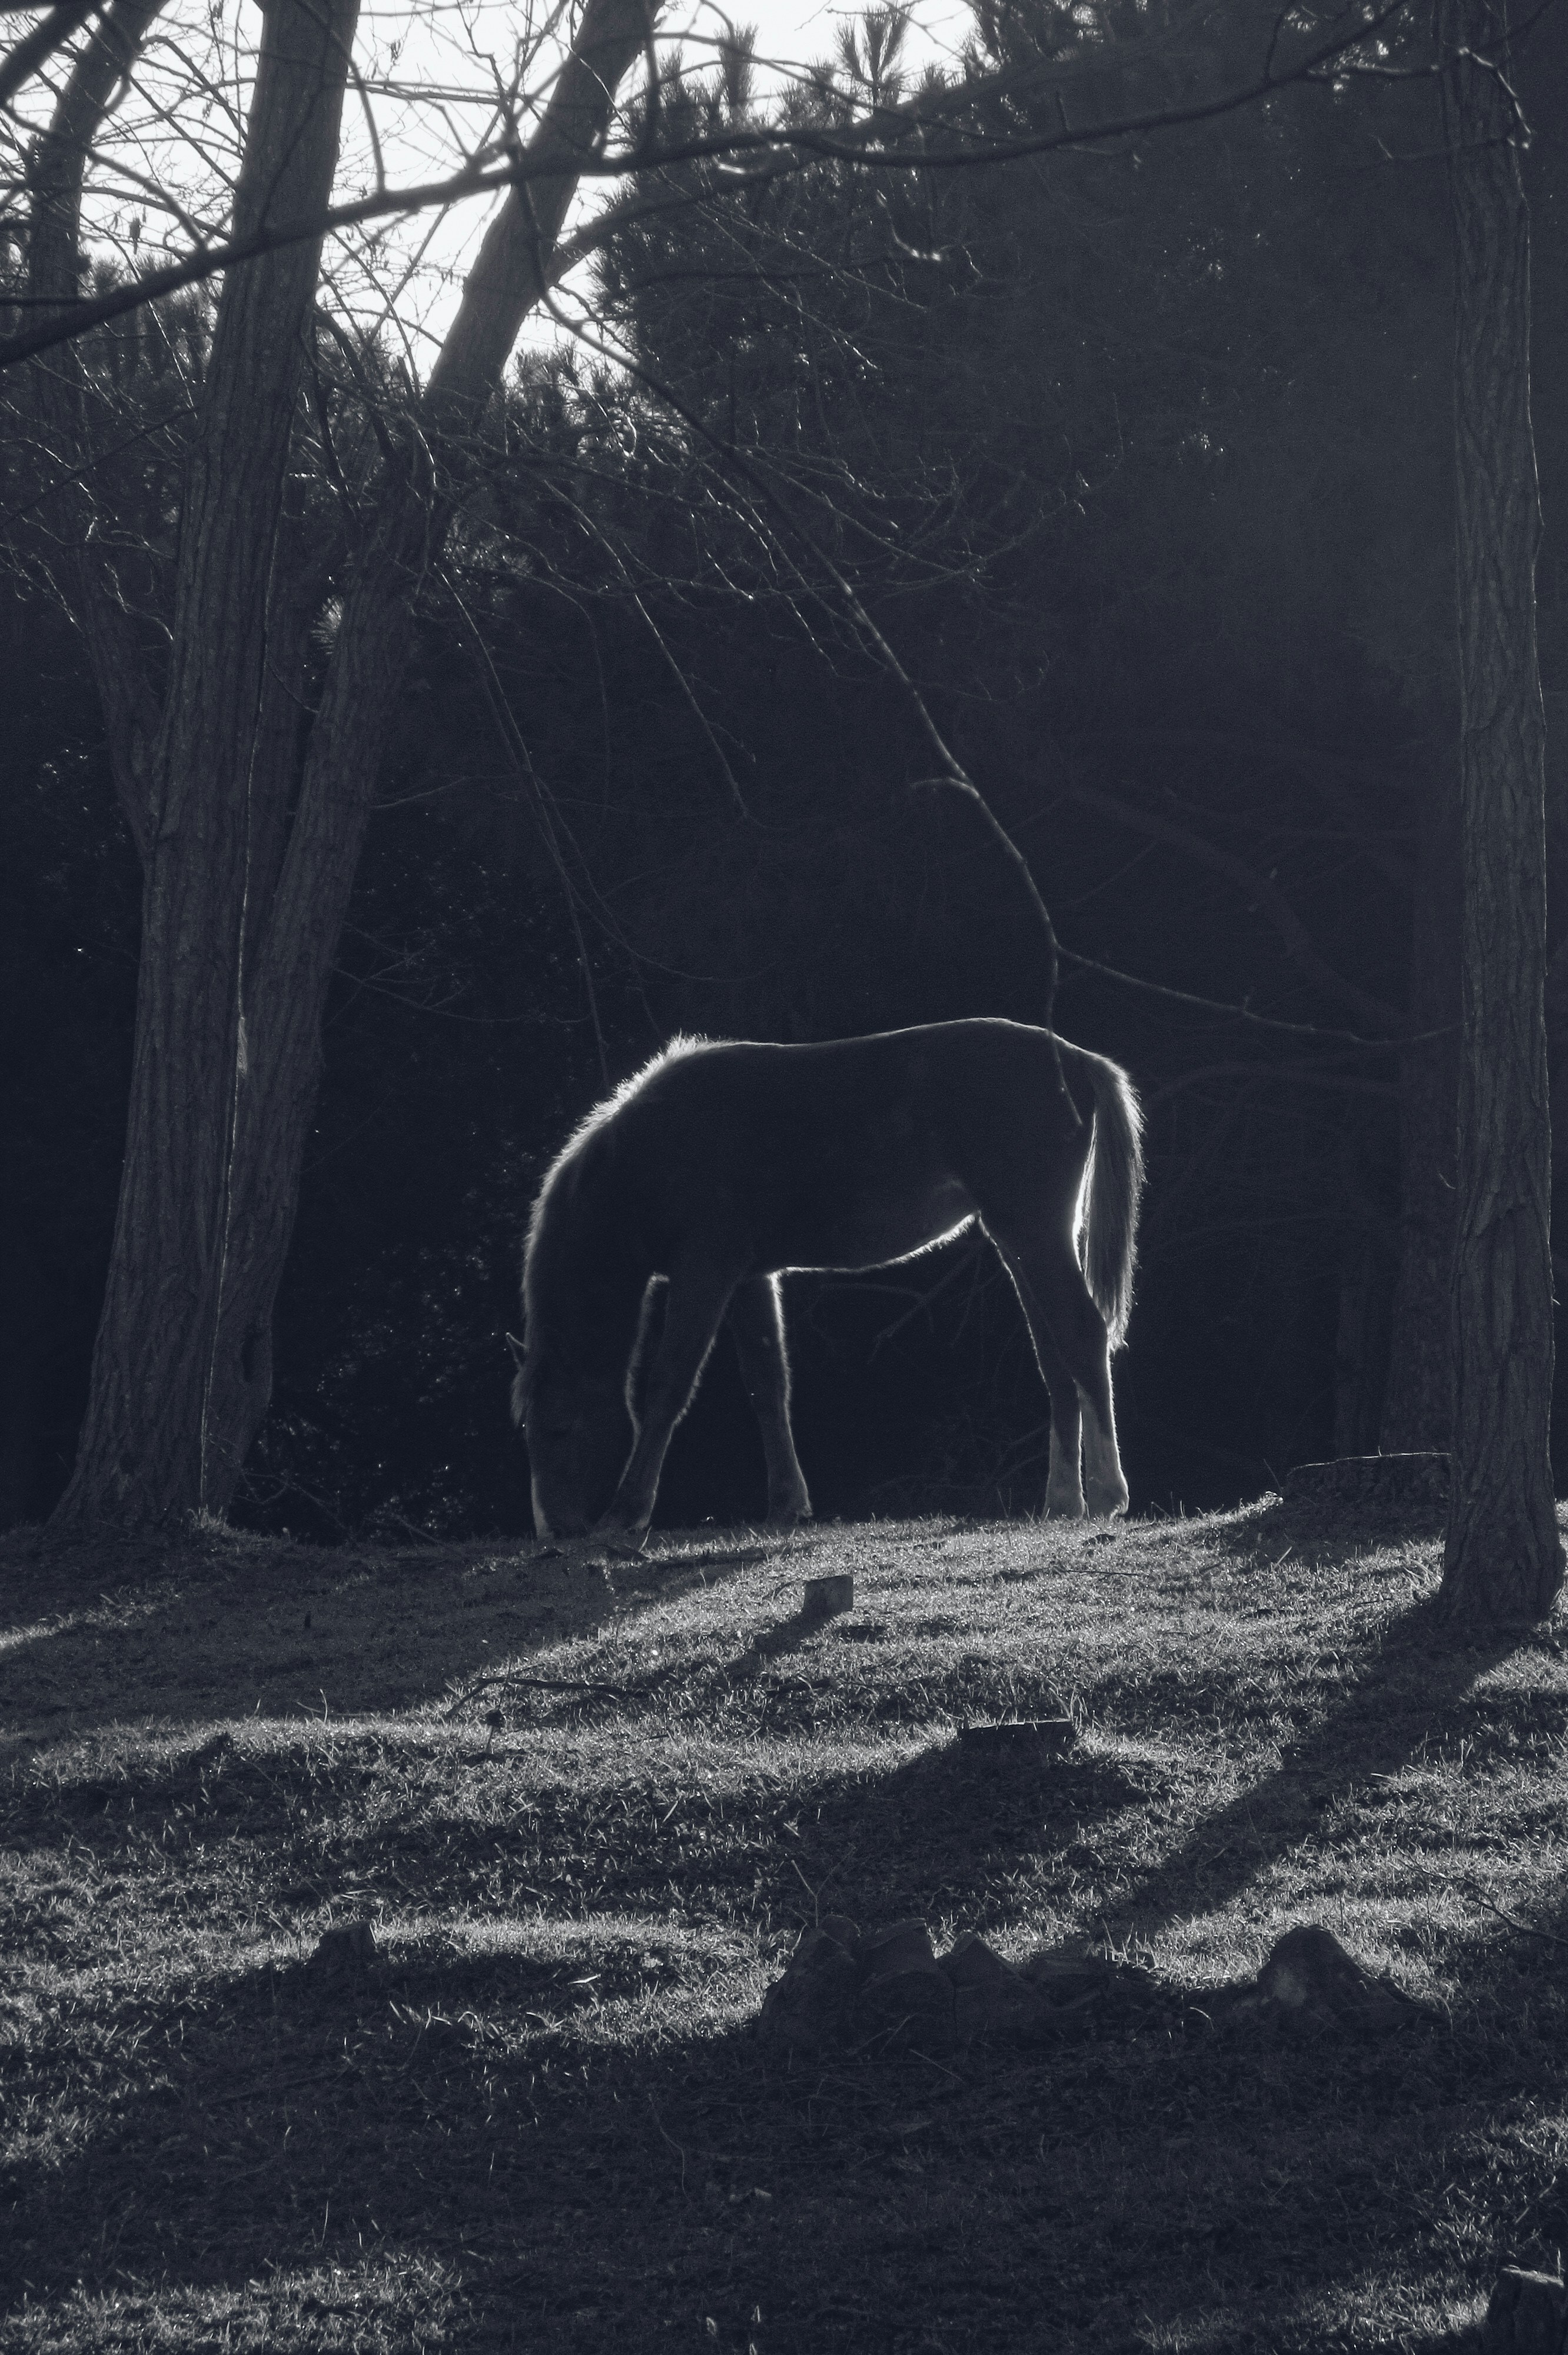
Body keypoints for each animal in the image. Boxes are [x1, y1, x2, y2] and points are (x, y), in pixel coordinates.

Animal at [510, 1017, 1143, 1545]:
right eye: (529, 1433)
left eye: (561, 1429)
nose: (553, 1533)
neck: (655, 1151)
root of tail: (1073, 1058)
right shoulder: (749, 1278)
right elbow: (768, 1385)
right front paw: (787, 1505)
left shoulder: (705, 1272)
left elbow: (668, 1386)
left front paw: (627, 1512)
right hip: (1020, 1244)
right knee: (1056, 1360)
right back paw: (1063, 1500)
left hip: (1034, 1234)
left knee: (1082, 1335)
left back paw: (1107, 1493)